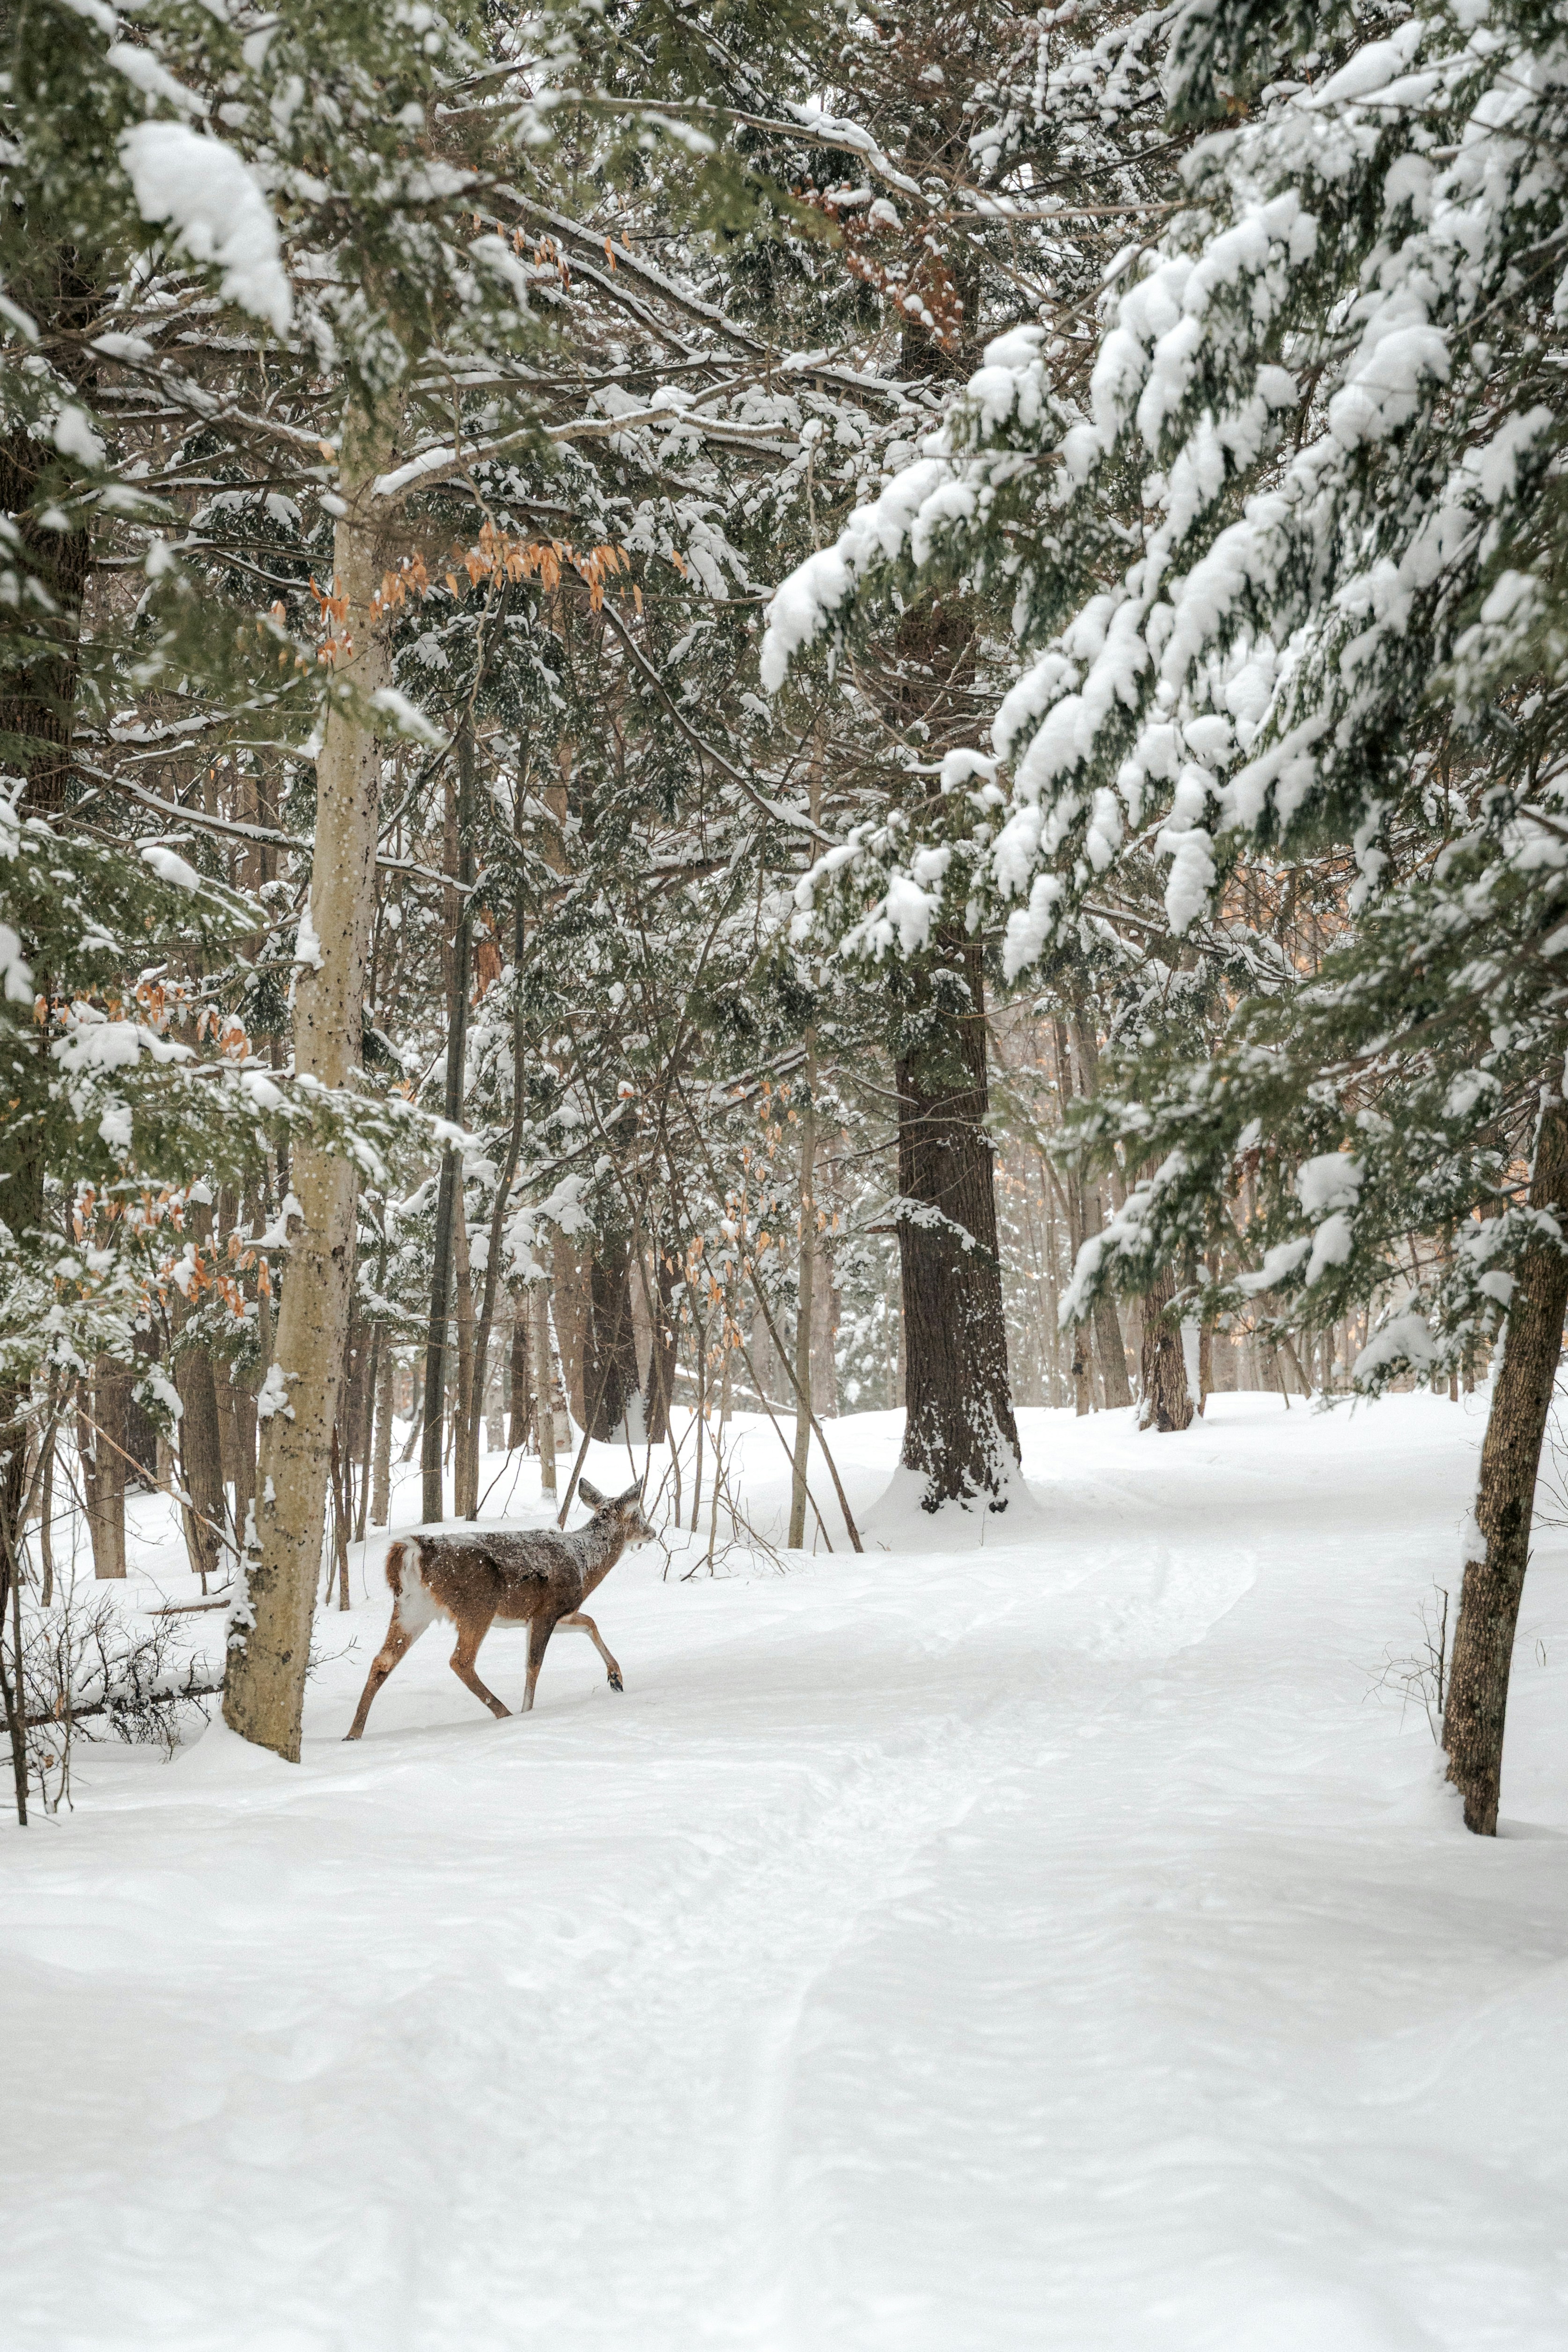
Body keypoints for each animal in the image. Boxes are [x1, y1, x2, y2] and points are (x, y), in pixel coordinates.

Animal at [344, 1479, 655, 1741]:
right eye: (638, 1513)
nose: (652, 1532)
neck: (585, 1562)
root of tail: (415, 1549)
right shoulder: (547, 1610)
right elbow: (534, 1664)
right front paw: (528, 1713)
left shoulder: (554, 1614)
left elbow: (590, 1622)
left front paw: (616, 1679)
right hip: (477, 1606)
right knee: (461, 1661)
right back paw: (505, 1713)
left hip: (412, 1608)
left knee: (383, 1661)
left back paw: (353, 1734)